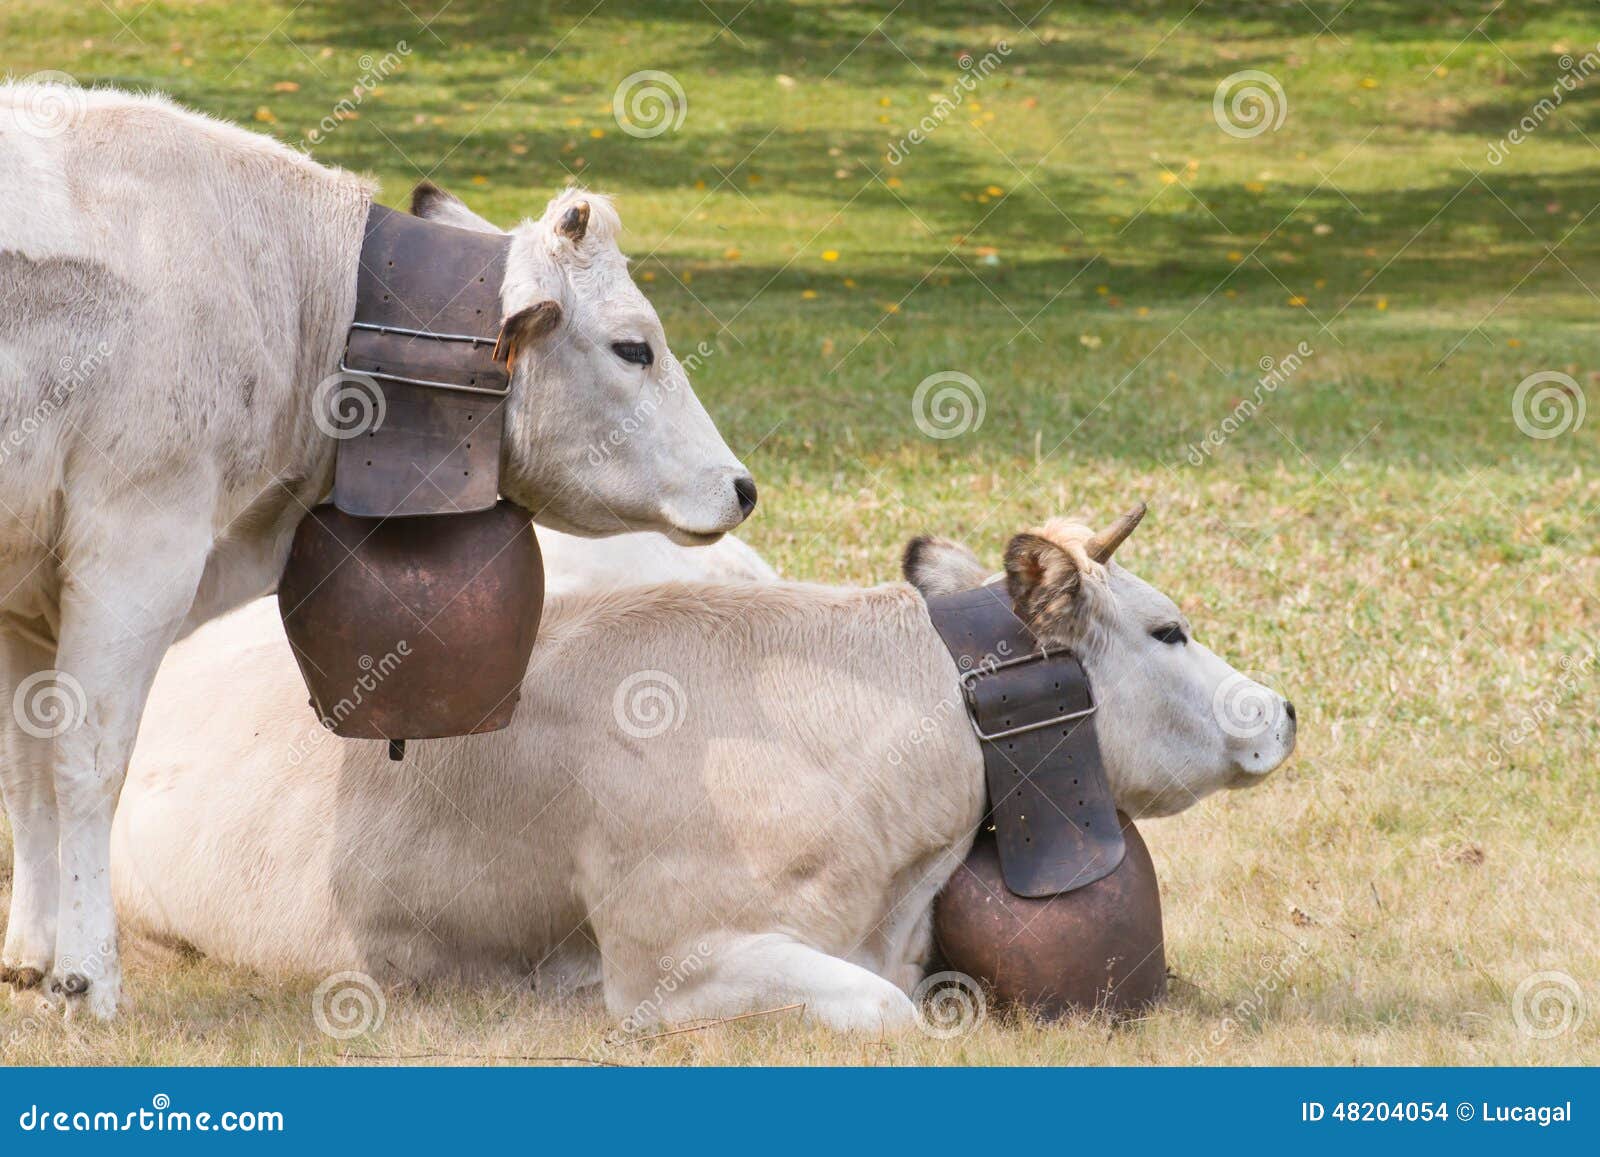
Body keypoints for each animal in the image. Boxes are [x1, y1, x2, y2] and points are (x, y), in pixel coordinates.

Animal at [0, 83, 755, 1019]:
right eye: (633, 347)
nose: (741, 485)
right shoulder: (139, 540)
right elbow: (88, 763)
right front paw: (86, 977)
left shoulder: (28, 591)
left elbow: (25, 765)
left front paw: (31, 953)